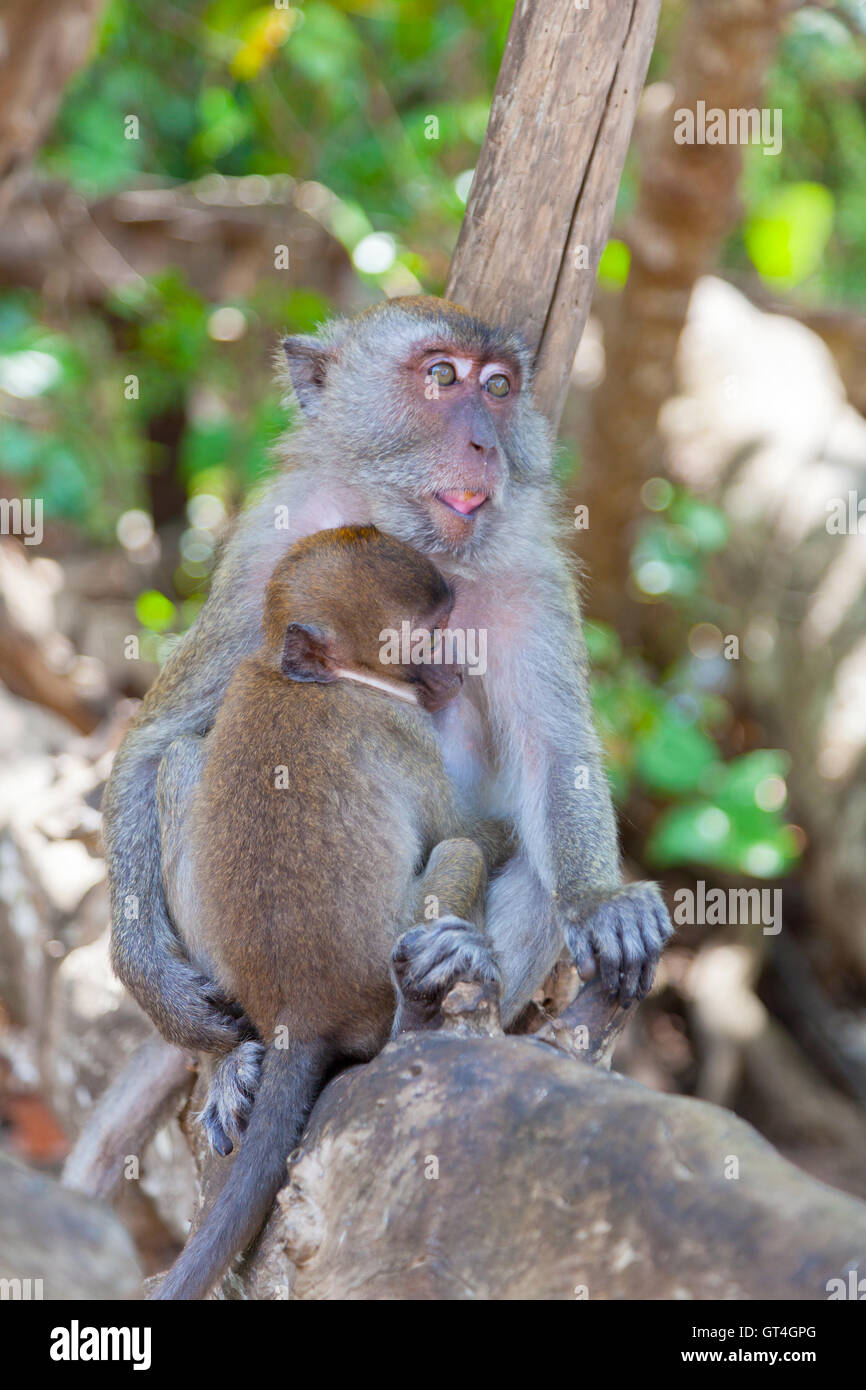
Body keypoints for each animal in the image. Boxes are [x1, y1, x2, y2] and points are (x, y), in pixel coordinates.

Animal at [103, 295, 672, 1141]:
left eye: (499, 387)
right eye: (441, 376)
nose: (484, 441)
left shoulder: (532, 575)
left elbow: (553, 758)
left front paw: (603, 900)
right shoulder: (269, 542)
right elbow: (156, 740)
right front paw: (159, 989)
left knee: (531, 876)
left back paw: (431, 994)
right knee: (187, 761)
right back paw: (237, 1058)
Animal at [151, 525, 501, 1300]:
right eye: (423, 637)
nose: (458, 666)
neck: (303, 673)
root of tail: (297, 1012)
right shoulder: (401, 725)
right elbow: (475, 833)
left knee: (181, 760)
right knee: (459, 850)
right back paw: (418, 1013)